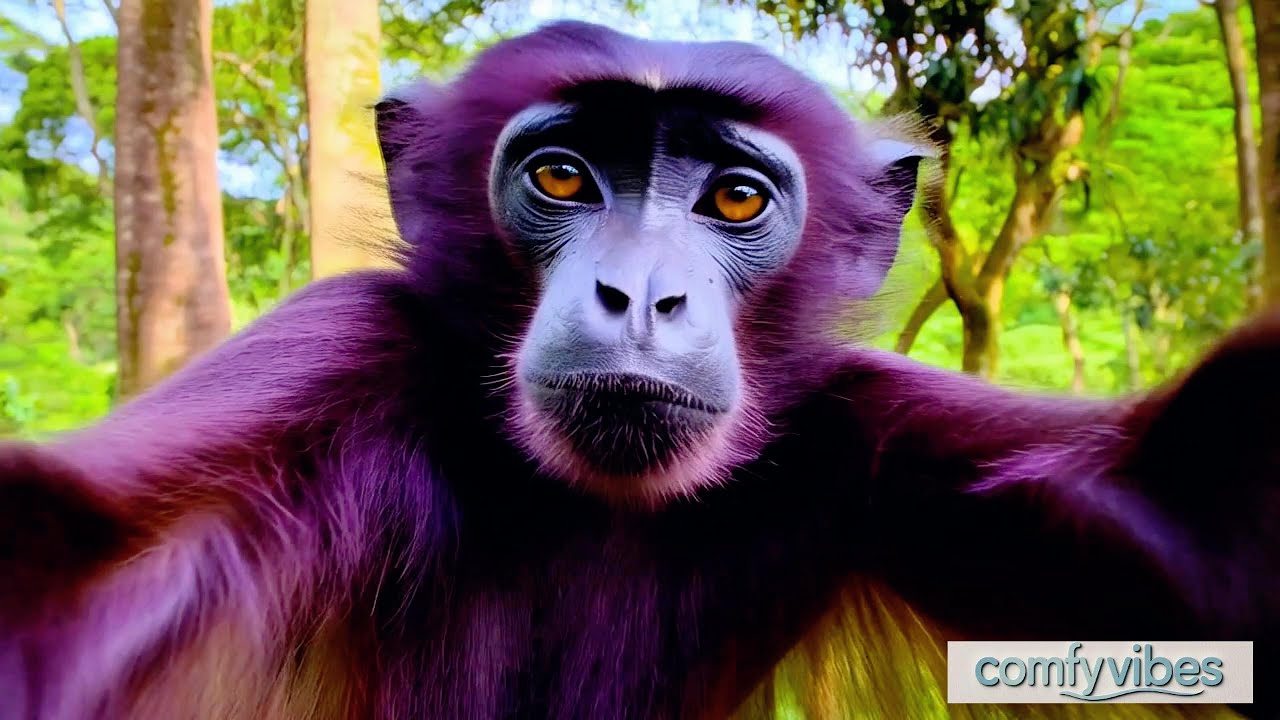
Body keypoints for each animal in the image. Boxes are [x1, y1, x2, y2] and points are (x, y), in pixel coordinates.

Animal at [1, 20, 1277, 720]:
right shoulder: (341, 354)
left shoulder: (869, 428)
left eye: (736, 199)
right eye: (562, 177)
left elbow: (1196, 513)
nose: (641, 297)